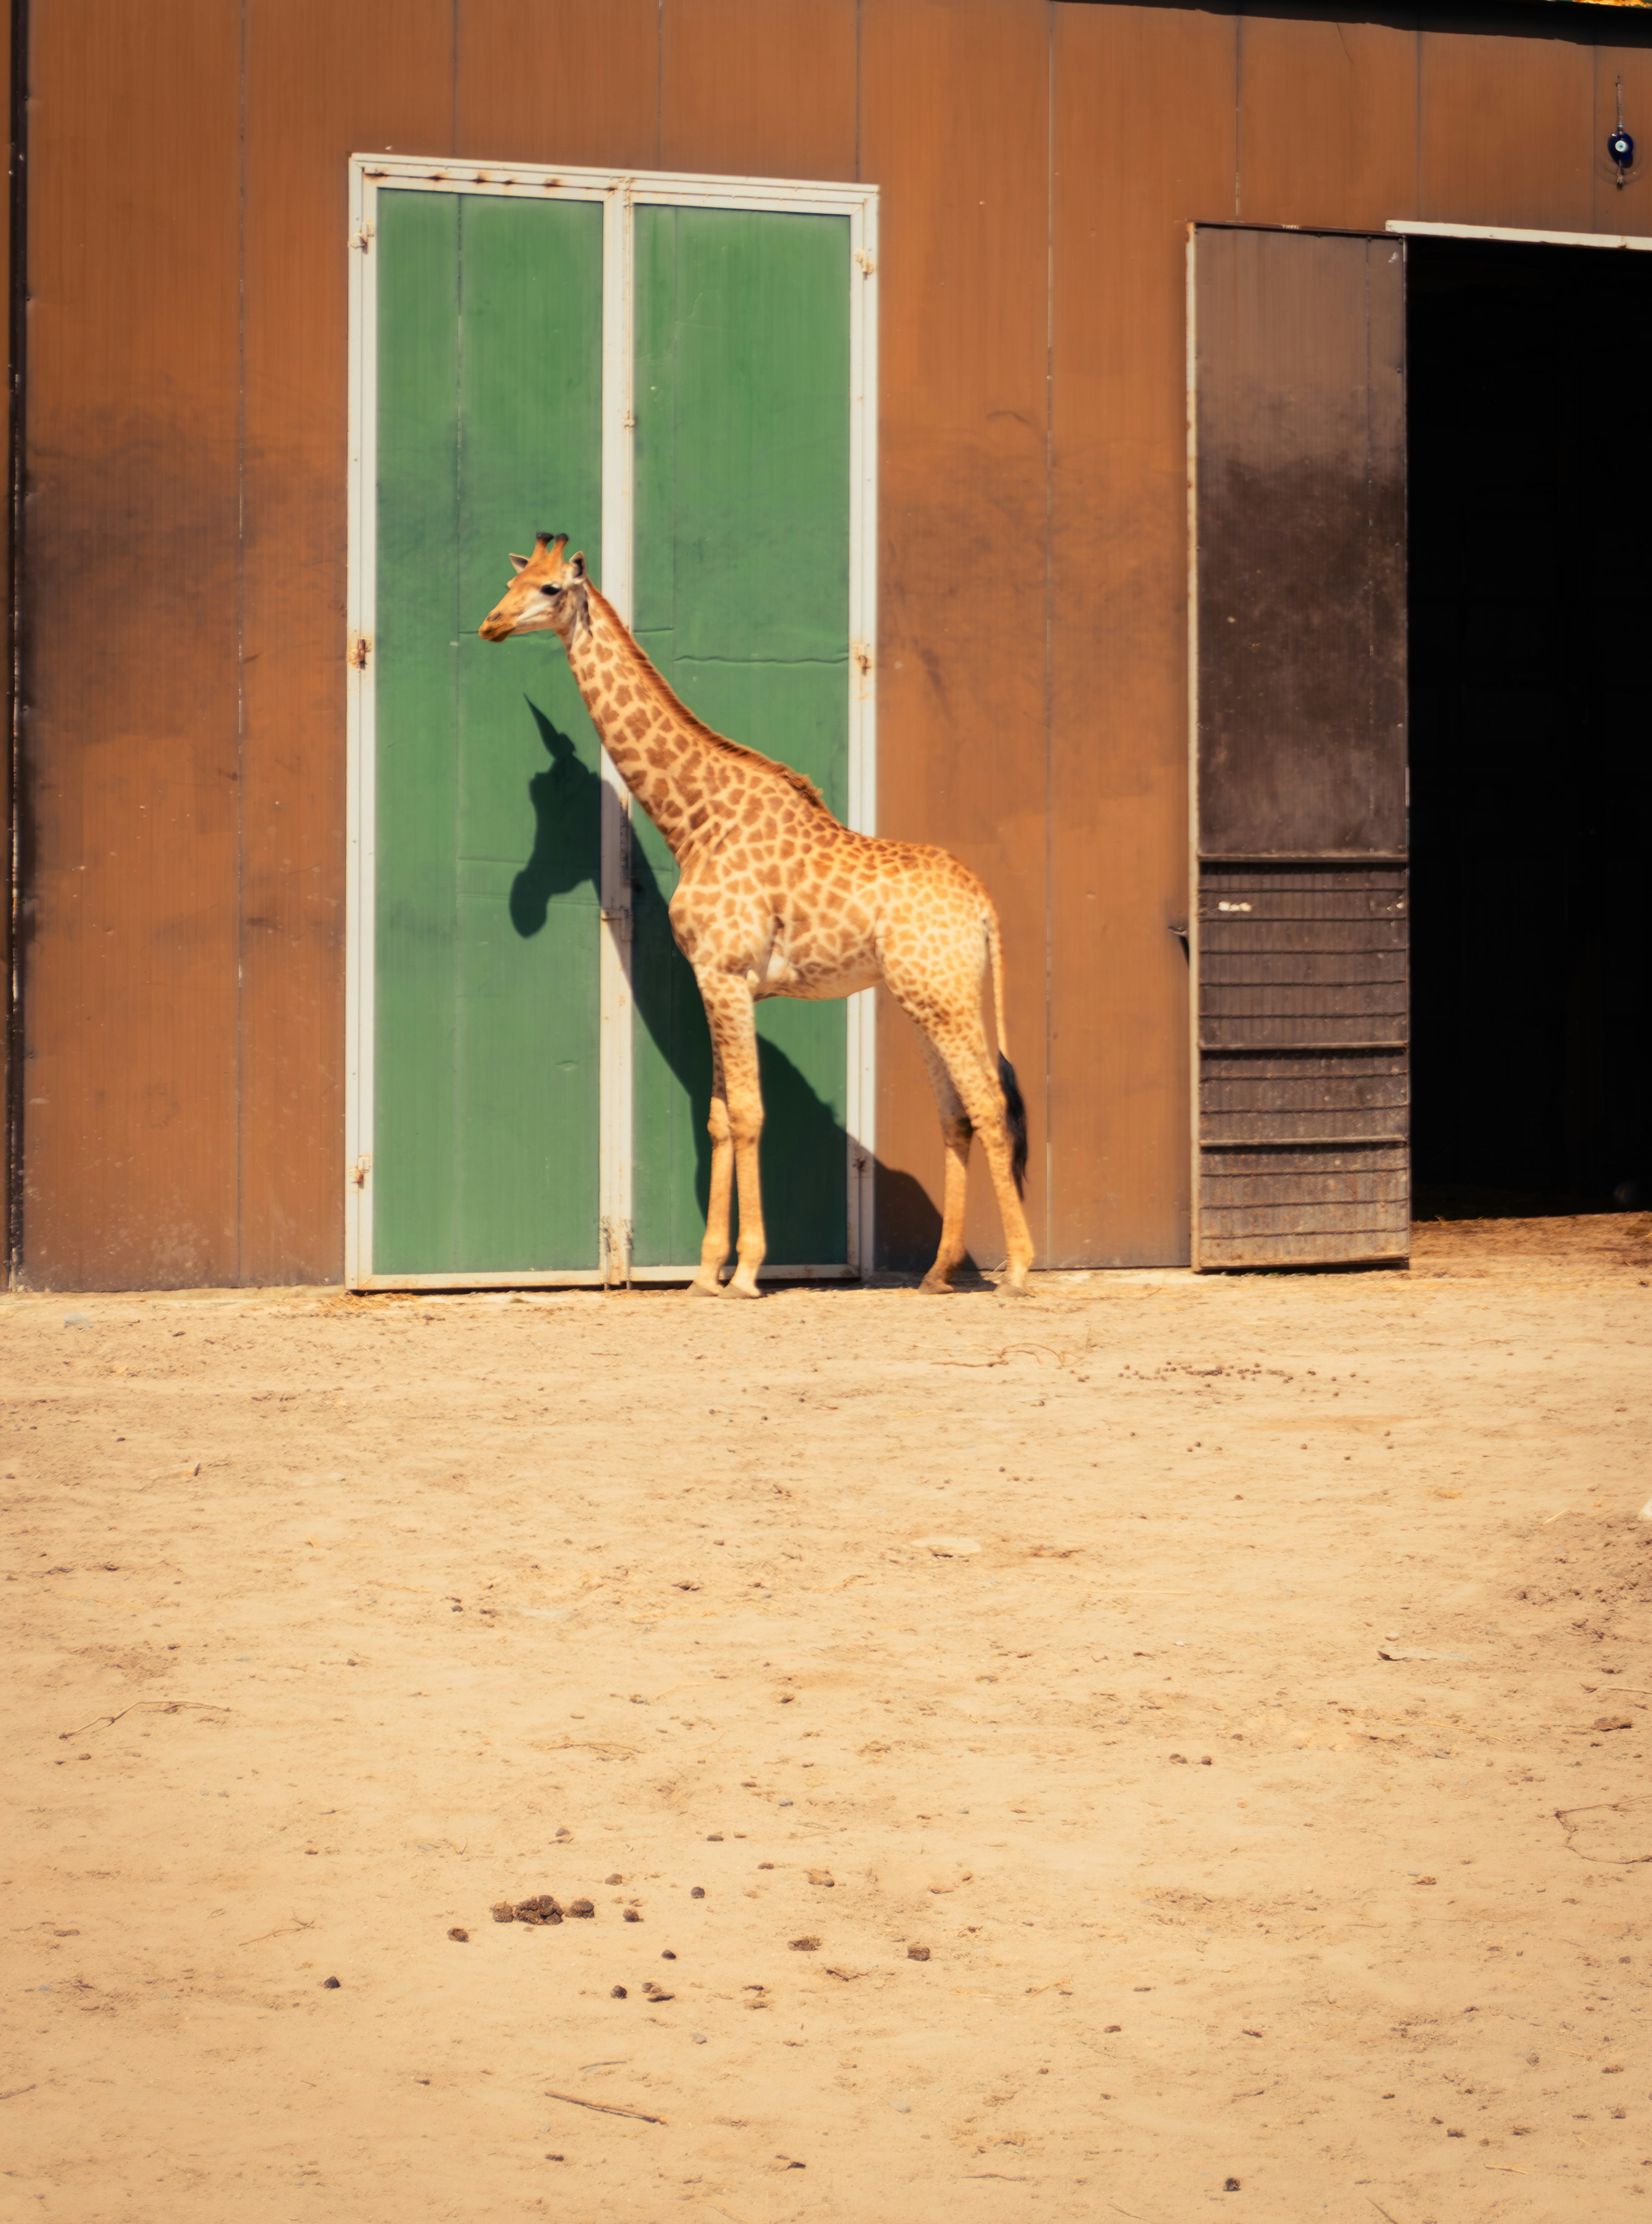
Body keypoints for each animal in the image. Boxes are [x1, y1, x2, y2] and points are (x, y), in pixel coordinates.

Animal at [480, 533, 1034, 1300]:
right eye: (512, 581)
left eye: (549, 589)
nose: (491, 624)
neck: (693, 822)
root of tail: (985, 908)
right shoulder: (717, 981)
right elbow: (719, 1118)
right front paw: (705, 1272)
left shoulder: (726, 974)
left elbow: (747, 1113)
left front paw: (744, 1271)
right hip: (927, 997)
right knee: (957, 1112)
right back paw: (937, 1272)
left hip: (942, 996)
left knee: (989, 1105)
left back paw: (1019, 1268)